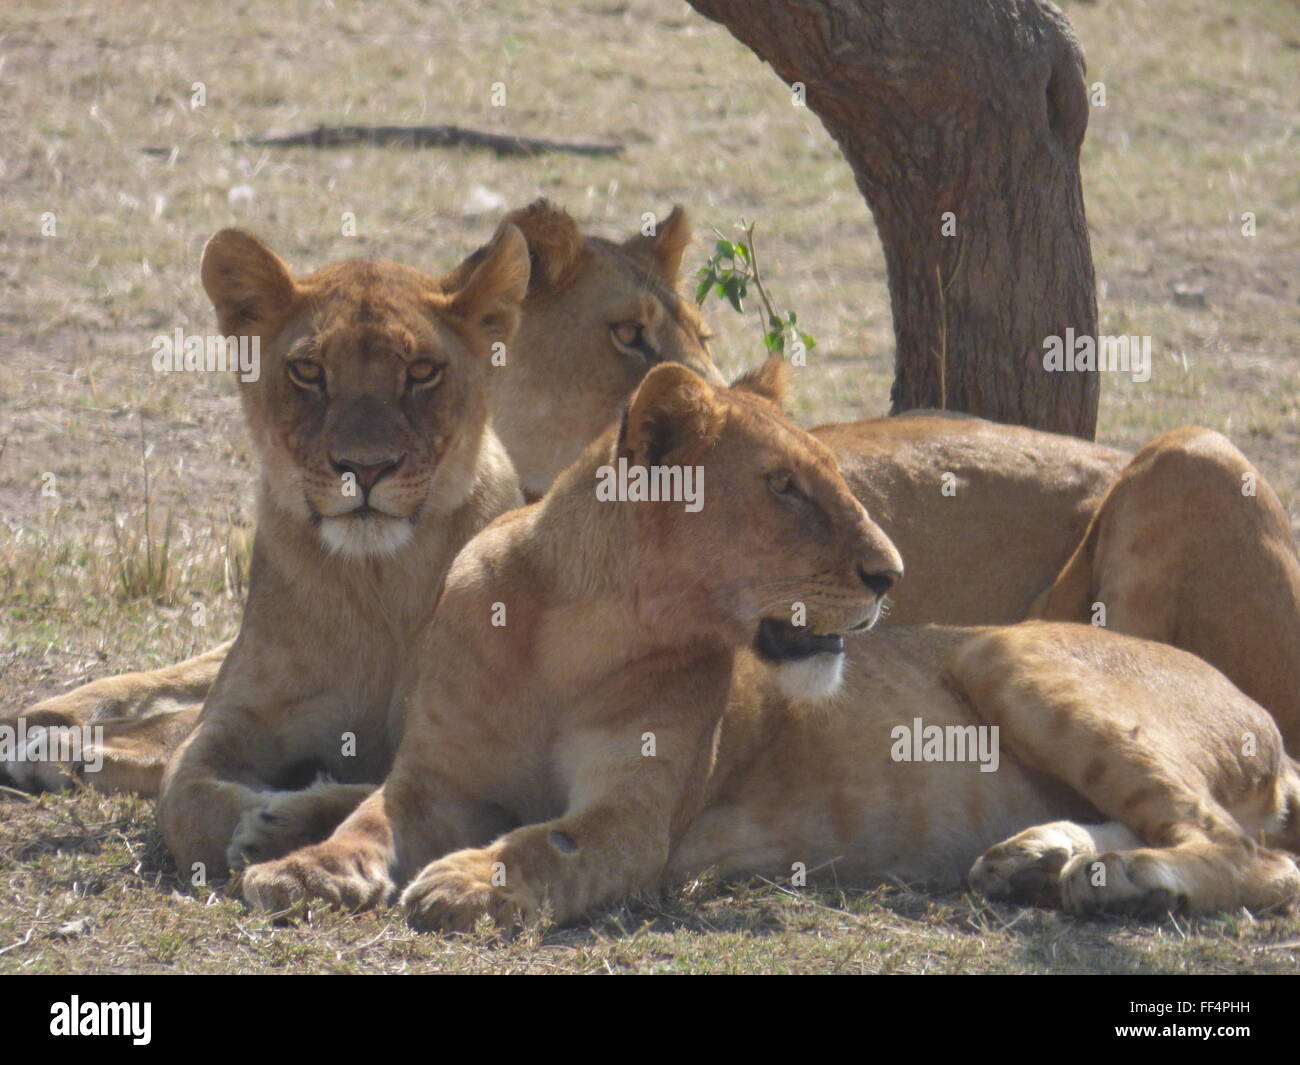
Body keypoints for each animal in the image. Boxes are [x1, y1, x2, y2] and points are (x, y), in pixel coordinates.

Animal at [242, 360, 1300, 927]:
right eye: (786, 487)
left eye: (833, 473)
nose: (892, 571)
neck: (569, 636)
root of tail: (1257, 713)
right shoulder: (435, 778)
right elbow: (371, 818)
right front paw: (301, 864)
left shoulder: (637, 820)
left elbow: (546, 839)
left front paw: (462, 877)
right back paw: (1045, 861)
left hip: (1003, 651)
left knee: (1249, 851)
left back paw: (1130, 883)